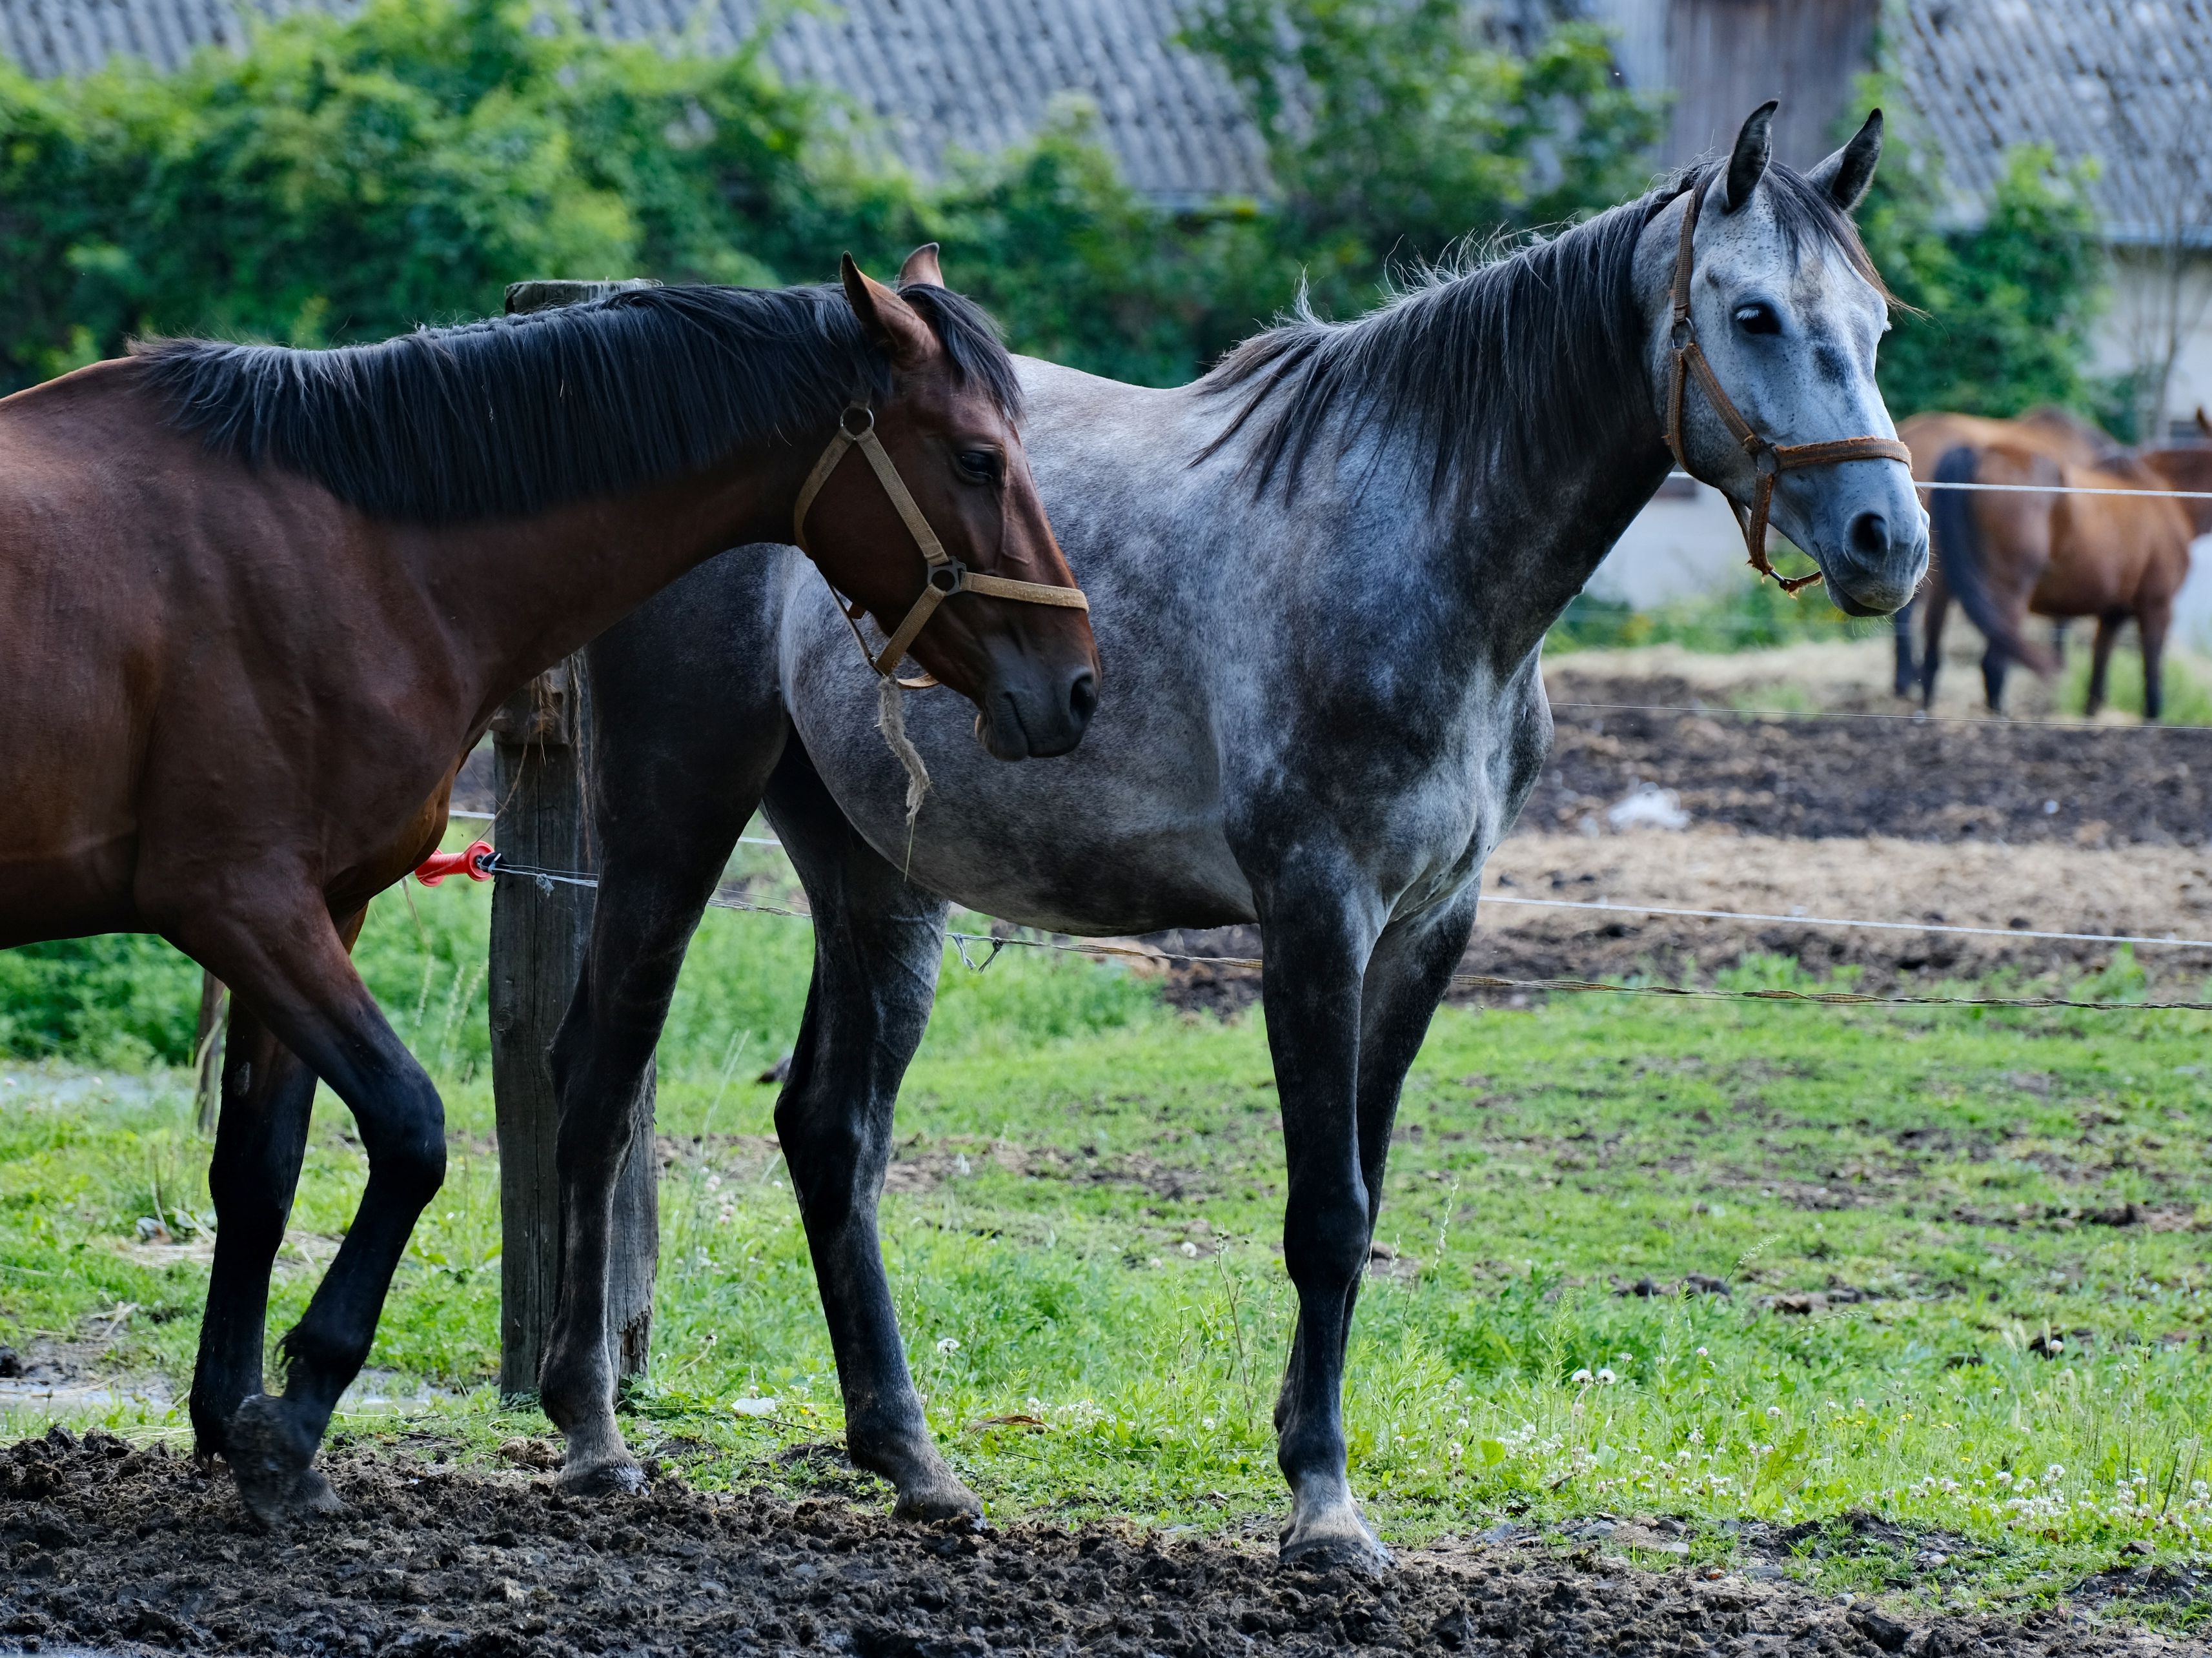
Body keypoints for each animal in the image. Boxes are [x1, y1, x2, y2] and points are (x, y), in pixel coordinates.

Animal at [0, 252, 1099, 1526]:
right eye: (976, 457)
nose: (1076, 685)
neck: (347, 548)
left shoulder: (319, 907)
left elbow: (261, 1168)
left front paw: (237, 1421)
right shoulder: (240, 901)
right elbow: (412, 1130)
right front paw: (298, 1407)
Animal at [540, 103, 1926, 1569]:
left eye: (1874, 322)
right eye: (1754, 314)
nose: (1887, 541)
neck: (1421, 549)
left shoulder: (1432, 924)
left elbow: (1363, 1198)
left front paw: (1304, 1452)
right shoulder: (1315, 912)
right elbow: (1326, 1213)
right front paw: (1321, 1501)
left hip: (878, 872)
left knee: (830, 1130)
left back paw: (910, 1455)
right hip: (673, 813)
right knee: (599, 1079)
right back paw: (590, 1426)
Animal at [1897, 410, 2196, 716]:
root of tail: (1978, 454)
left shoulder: (2112, 609)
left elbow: (2097, 672)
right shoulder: (2156, 605)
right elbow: (2150, 676)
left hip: (1946, 584)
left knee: (1932, 652)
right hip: (2007, 594)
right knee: (1992, 663)